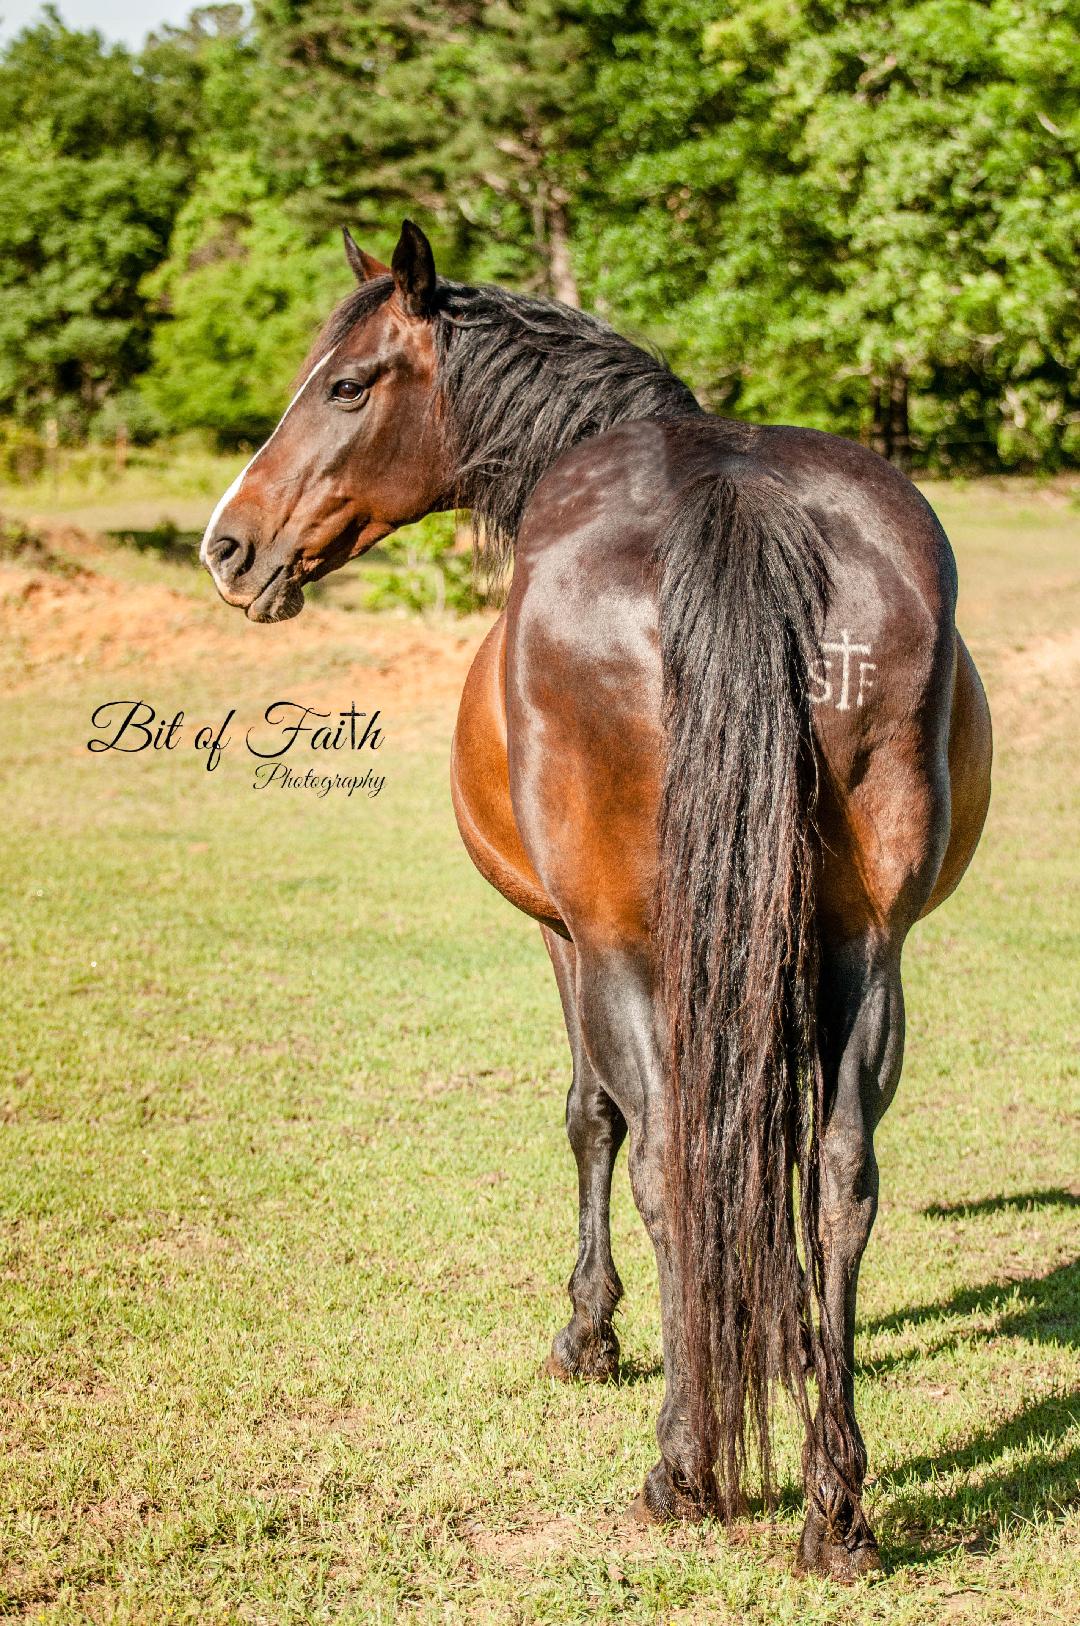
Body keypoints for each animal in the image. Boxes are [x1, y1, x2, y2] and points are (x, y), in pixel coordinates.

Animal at [200, 219, 992, 1580]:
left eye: (345, 386)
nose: (228, 545)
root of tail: (737, 506)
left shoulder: (564, 938)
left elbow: (593, 1120)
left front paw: (593, 1333)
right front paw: (778, 1343)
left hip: (625, 944)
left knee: (665, 1152)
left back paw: (685, 1466)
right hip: (865, 949)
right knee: (840, 1173)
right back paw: (835, 1503)